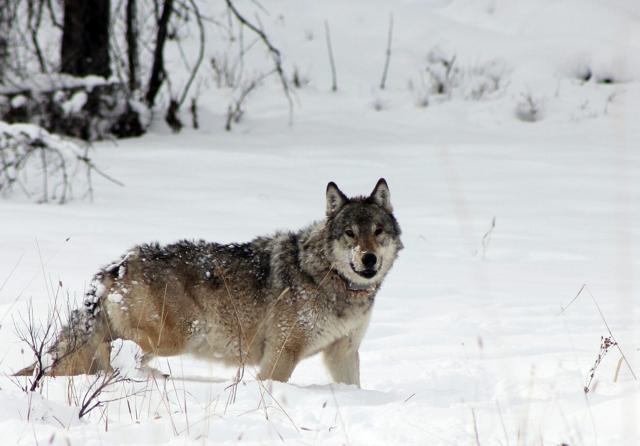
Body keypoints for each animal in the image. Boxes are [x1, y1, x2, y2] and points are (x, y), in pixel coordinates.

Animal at [16, 179, 402, 386]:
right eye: (350, 234)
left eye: (377, 232)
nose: (368, 259)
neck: (328, 277)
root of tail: (117, 266)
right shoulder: (282, 353)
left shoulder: (344, 353)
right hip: (176, 336)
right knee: (121, 360)